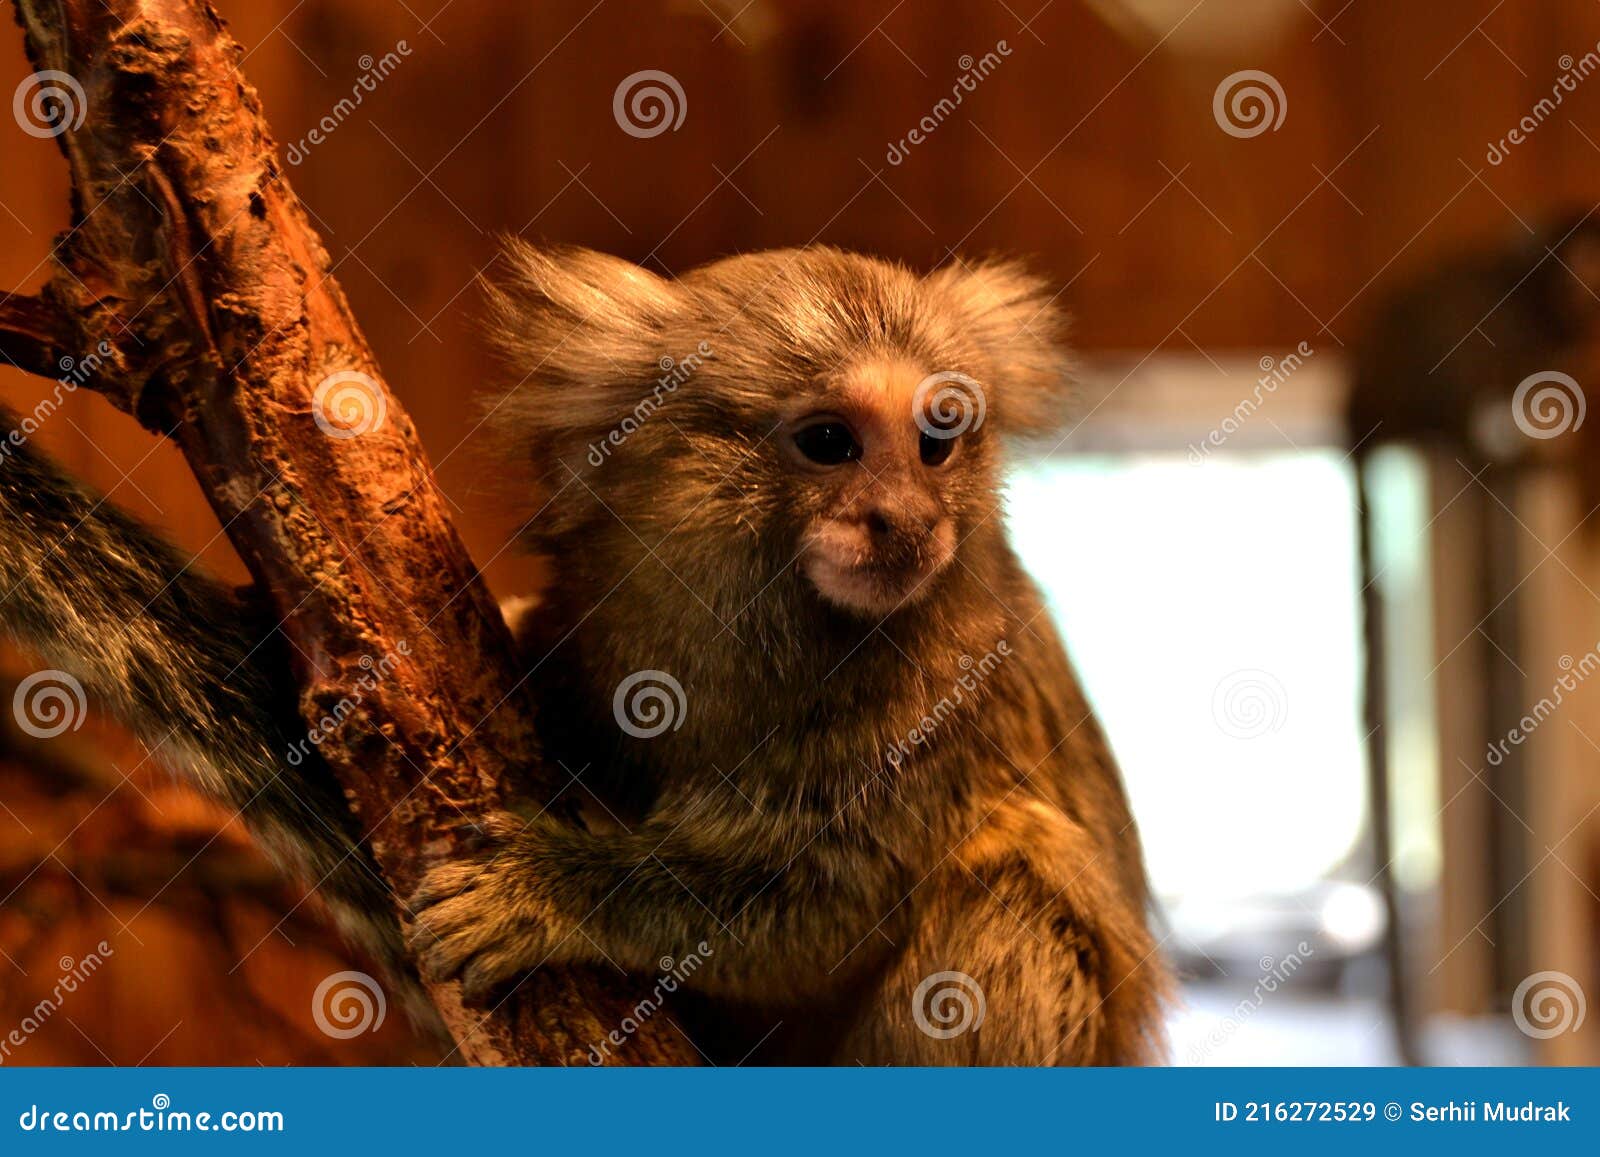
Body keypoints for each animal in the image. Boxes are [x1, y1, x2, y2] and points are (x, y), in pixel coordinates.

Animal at [0, 242, 1169, 1064]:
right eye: (830, 442)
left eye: (937, 440)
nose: (908, 523)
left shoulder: (937, 696)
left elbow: (811, 905)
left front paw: (550, 892)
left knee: (1016, 902)